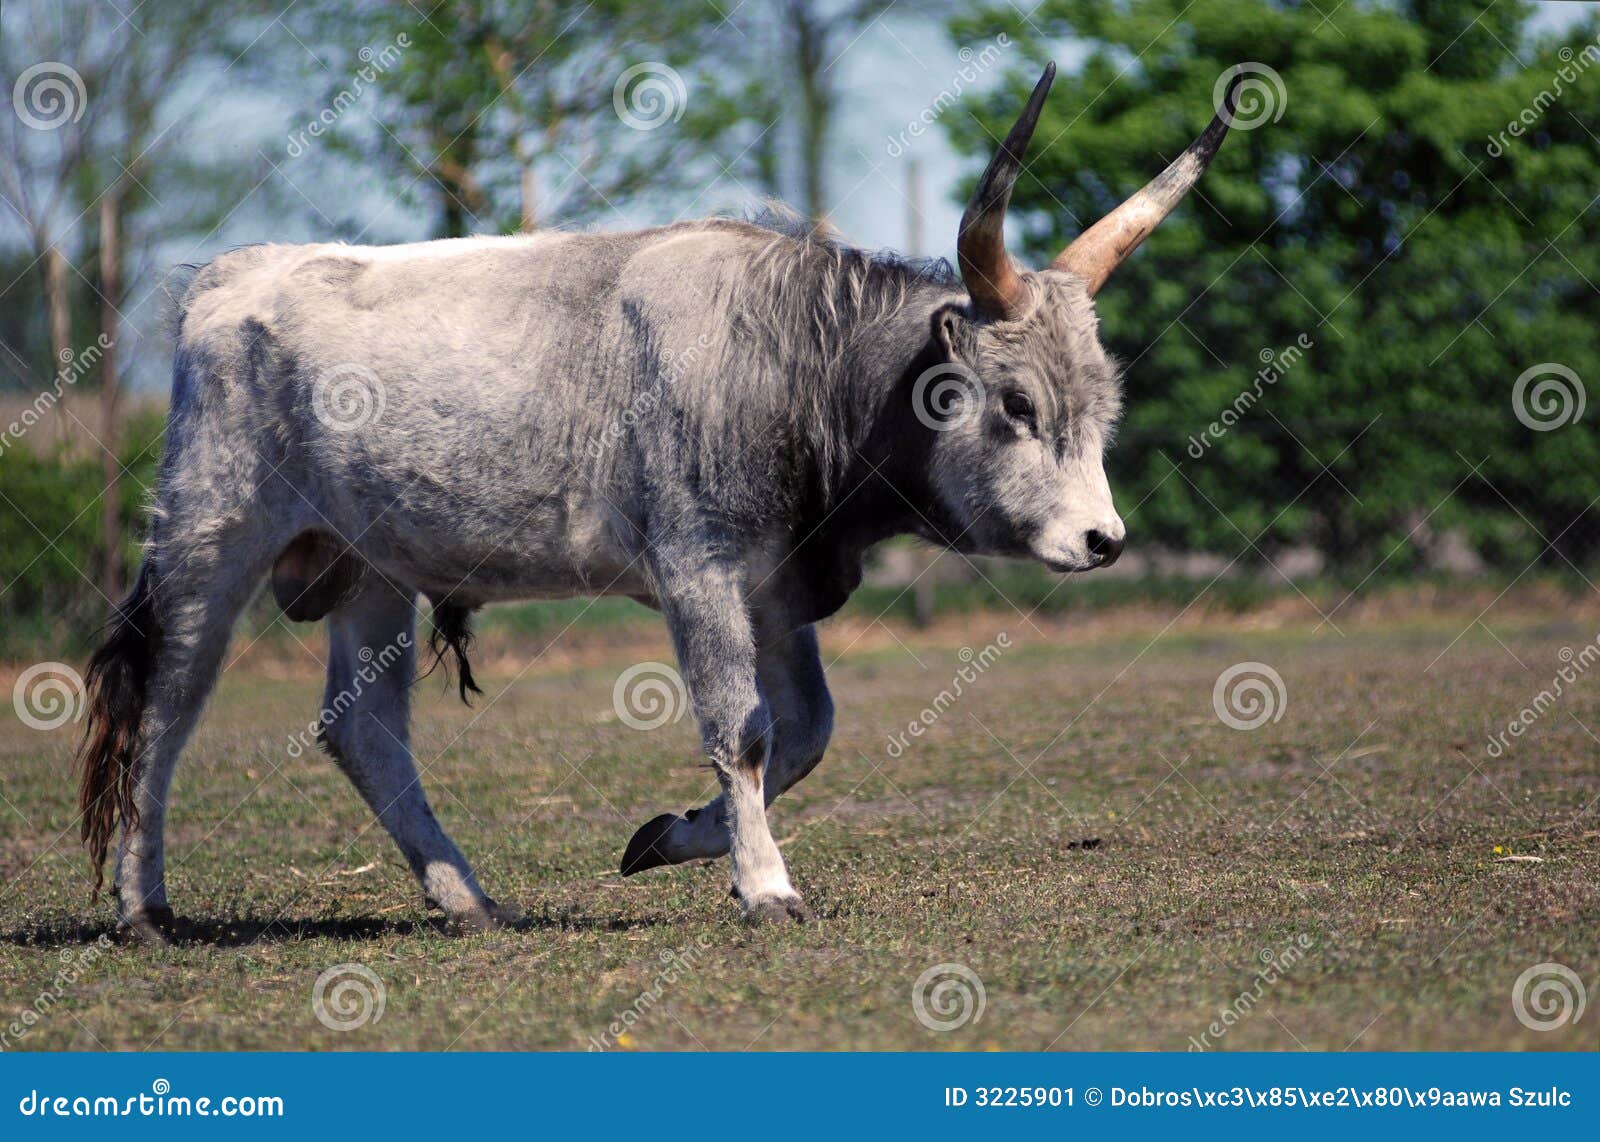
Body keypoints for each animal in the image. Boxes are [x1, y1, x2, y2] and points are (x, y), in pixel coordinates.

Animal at [76, 63, 1242, 939]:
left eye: (1104, 405)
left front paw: (680, 838)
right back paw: (145, 905)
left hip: (370, 569)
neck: (794, 359)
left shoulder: (776, 589)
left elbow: (805, 730)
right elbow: (744, 727)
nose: (1103, 538)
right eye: (1015, 401)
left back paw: (467, 897)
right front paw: (765, 885)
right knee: (166, 708)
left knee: (363, 731)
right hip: (210, 539)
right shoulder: (701, 572)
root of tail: (231, 276)